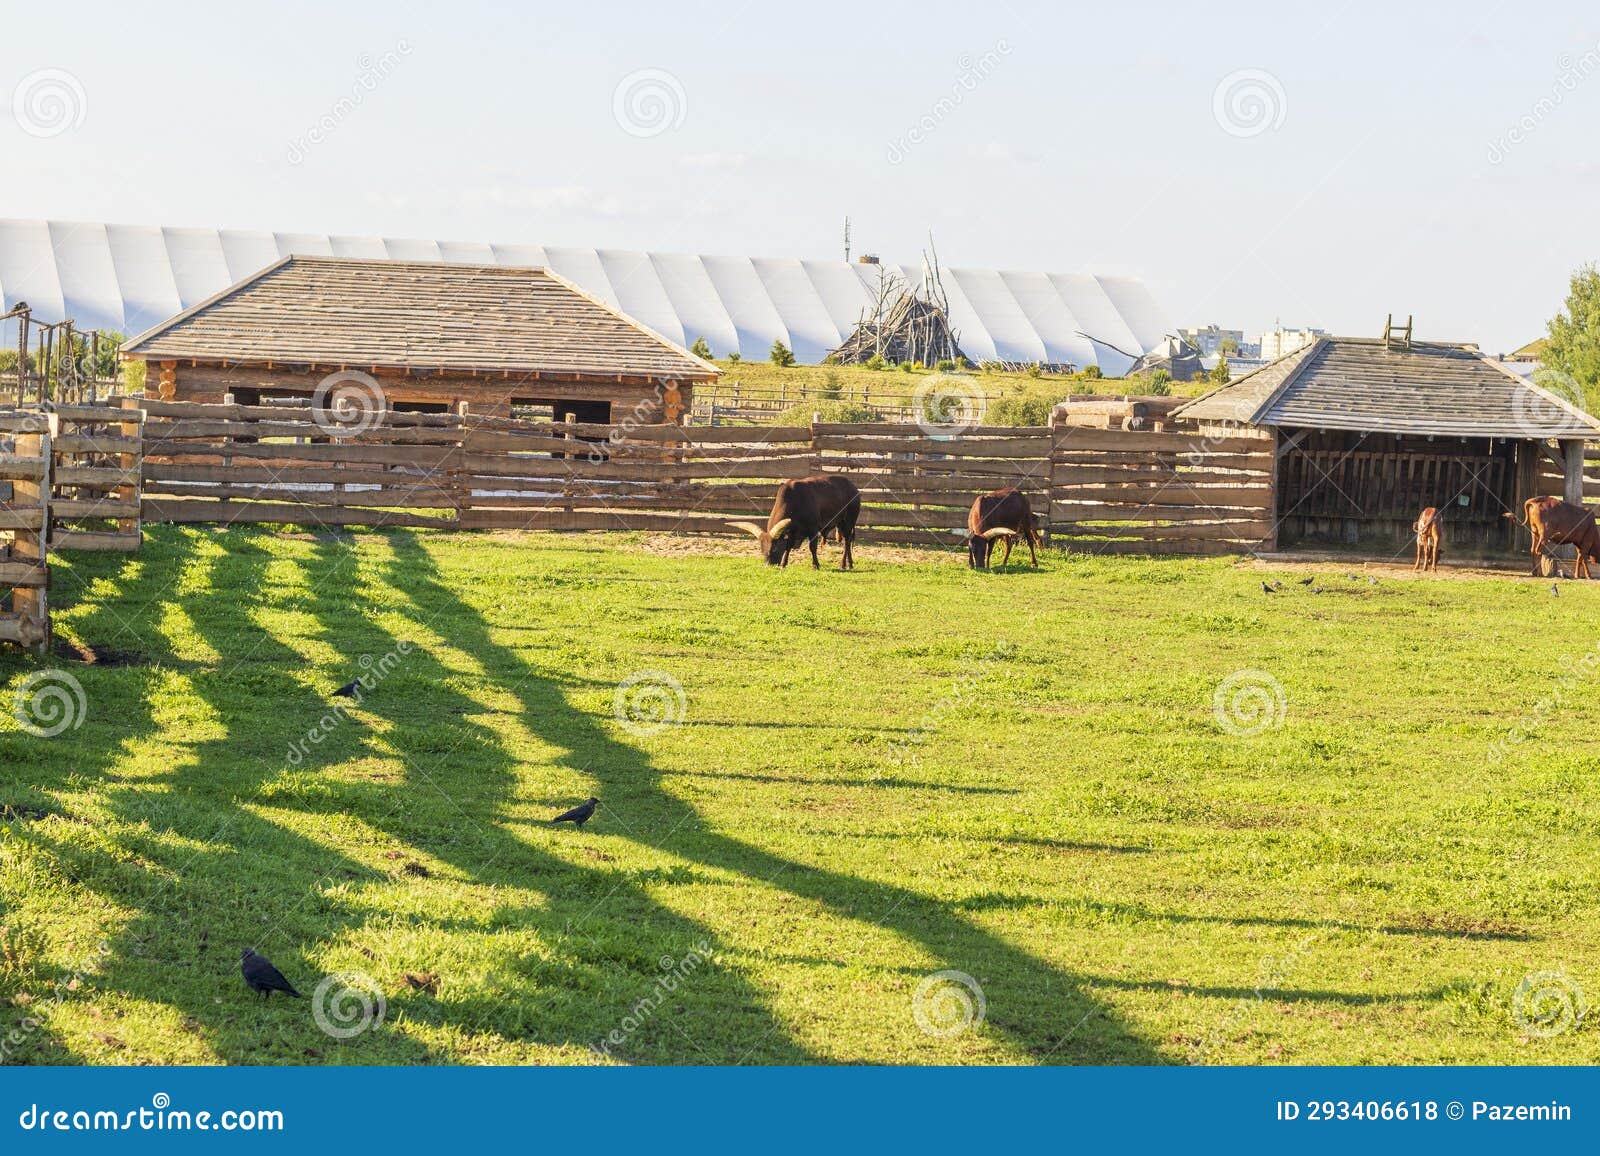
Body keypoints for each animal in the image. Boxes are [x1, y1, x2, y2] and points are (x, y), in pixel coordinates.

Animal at [730, 474, 861, 569]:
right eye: (762, 550)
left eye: (774, 549)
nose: (768, 565)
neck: (794, 500)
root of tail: (853, 488)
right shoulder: (792, 532)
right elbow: (788, 547)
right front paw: (784, 564)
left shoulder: (813, 530)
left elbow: (812, 548)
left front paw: (815, 565)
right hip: (840, 523)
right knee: (847, 541)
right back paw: (850, 563)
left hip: (849, 521)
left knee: (847, 542)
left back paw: (843, 564)